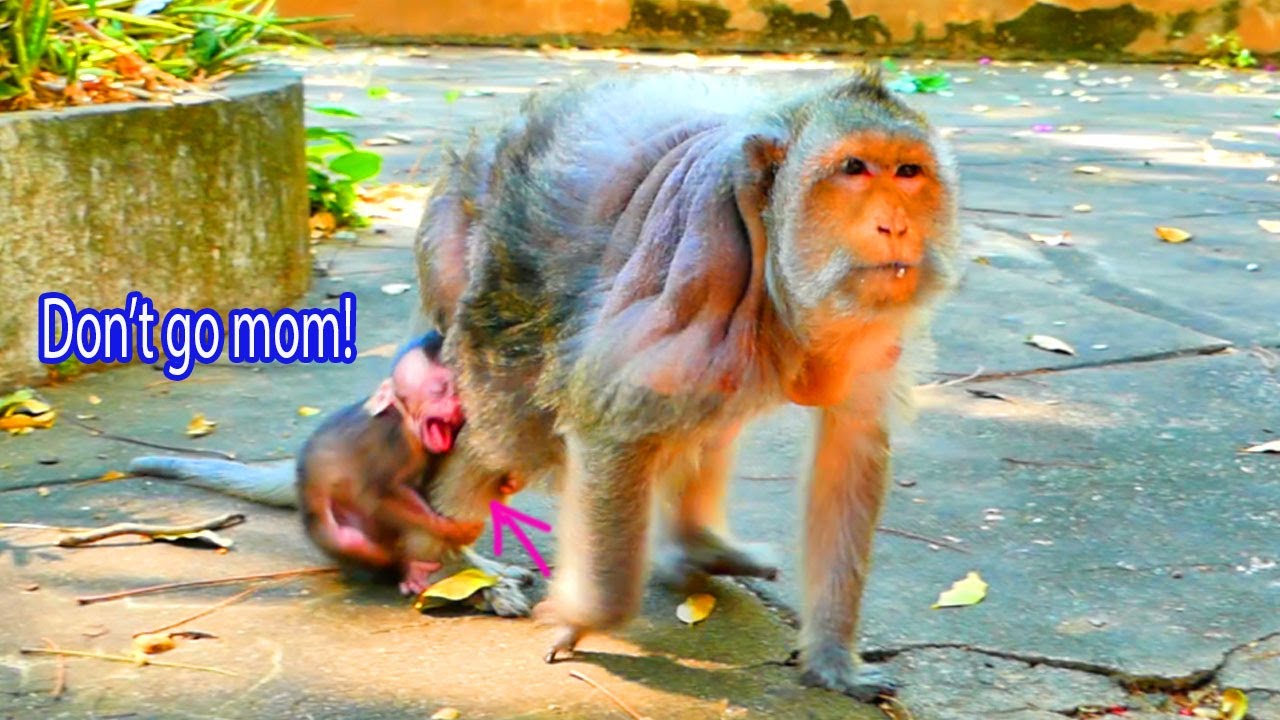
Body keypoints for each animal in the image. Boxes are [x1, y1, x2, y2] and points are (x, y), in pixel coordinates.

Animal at [411, 68, 958, 701]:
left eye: (908, 172)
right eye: (854, 169)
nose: (895, 224)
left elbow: (850, 446)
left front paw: (833, 661)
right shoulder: (702, 266)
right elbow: (613, 423)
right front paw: (587, 617)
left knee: (713, 402)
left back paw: (697, 547)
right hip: (469, 259)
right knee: (511, 417)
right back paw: (449, 562)